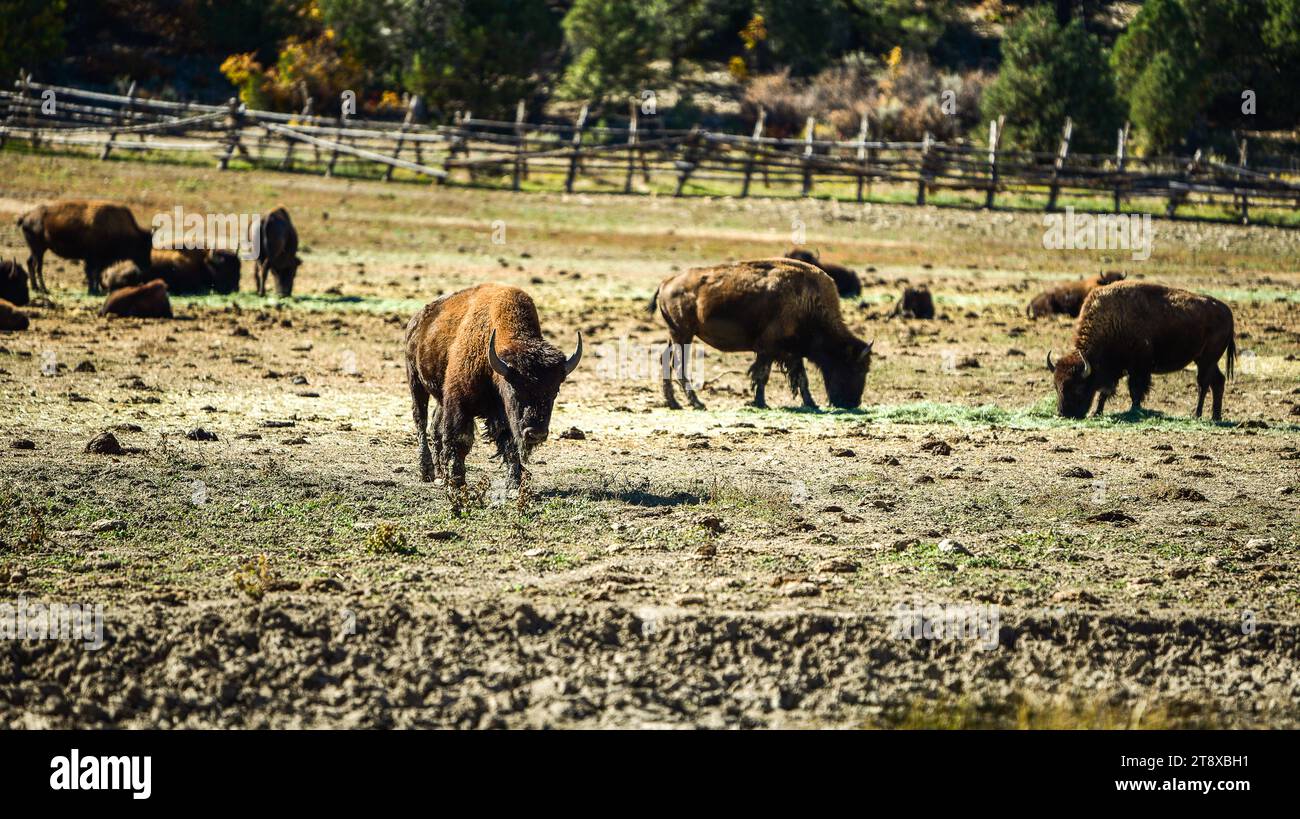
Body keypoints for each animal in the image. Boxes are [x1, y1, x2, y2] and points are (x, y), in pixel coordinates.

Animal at [18, 200, 153, 294]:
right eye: (143, 246)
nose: (147, 266)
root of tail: (27, 216)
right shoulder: (93, 258)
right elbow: (92, 273)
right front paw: (93, 290)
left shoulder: (99, 260)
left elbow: (96, 274)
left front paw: (96, 290)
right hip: (39, 249)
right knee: (37, 267)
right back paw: (44, 289)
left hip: (37, 249)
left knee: (30, 263)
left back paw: (35, 288)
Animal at [404, 283, 582, 487]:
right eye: (514, 388)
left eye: (555, 391)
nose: (535, 433)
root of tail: (416, 320)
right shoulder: (459, 402)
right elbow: (460, 440)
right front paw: (458, 482)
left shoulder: (503, 415)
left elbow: (510, 443)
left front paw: (514, 483)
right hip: (415, 381)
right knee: (421, 420)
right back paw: (427, 472)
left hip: (440, 396)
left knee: (435, 426)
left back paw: (440, 473)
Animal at [651, 258, 873, 410]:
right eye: (856, 367)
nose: (852, 403)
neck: (807, 300)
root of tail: (666, 282)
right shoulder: (768, 349)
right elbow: (763, 375)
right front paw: (760, 402)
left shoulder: (791, 353)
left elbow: (801, 378)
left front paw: (811, 403)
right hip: (683, 334)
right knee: (678, 365)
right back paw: (697, 403)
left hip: (676, 334)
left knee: (666, 360)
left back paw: (674, 403)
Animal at [1048, 281, 1236, 420]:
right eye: (1056, 386)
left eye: (1078, 387)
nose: (1064, 413)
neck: (1113, 321)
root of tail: (1227, 311)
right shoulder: (1115, 371)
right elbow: (1105, 392)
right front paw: (1097, 412)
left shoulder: (1138, 368)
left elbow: (1135, 390)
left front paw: (1134, 410)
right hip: (1205, 360)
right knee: (1217, 381)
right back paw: (1215, 416)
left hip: (1207, 360)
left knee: (1203, 384)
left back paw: (1197, 415)